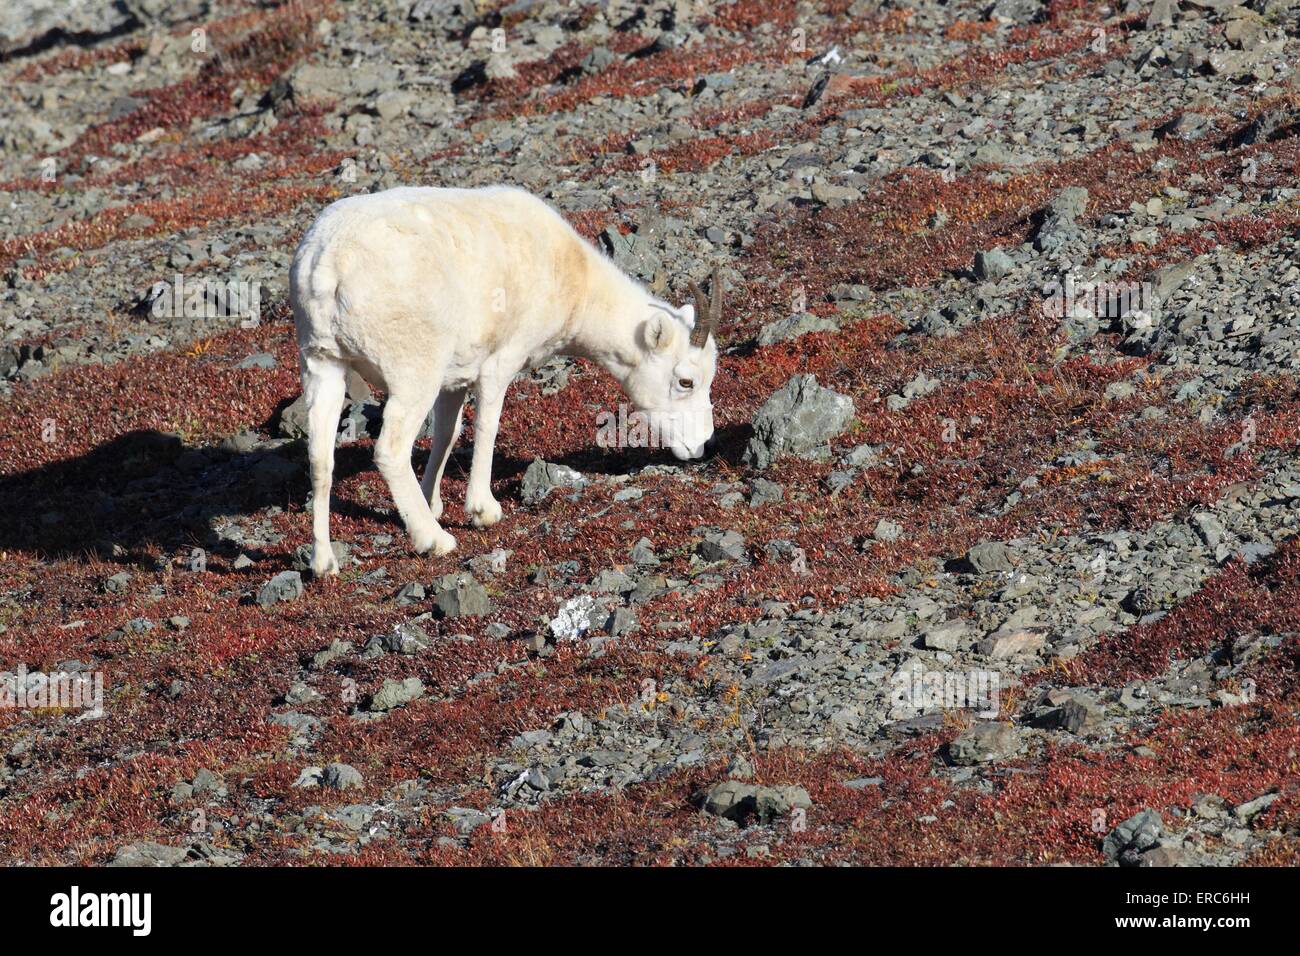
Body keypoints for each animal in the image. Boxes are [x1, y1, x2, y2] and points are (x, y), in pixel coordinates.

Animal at [289, 185, 723, 577]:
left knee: (320, 458)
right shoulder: (499, 366)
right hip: (414, 375)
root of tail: (327, 265)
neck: (570, 275)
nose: (701, 444)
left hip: (324, 365)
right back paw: (435, 540)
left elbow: (447, 433)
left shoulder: (454, 380)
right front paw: (483, 511)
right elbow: (487, 426)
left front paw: (433, 504)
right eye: (686, 381)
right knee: (390, 451)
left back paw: (325, 564)